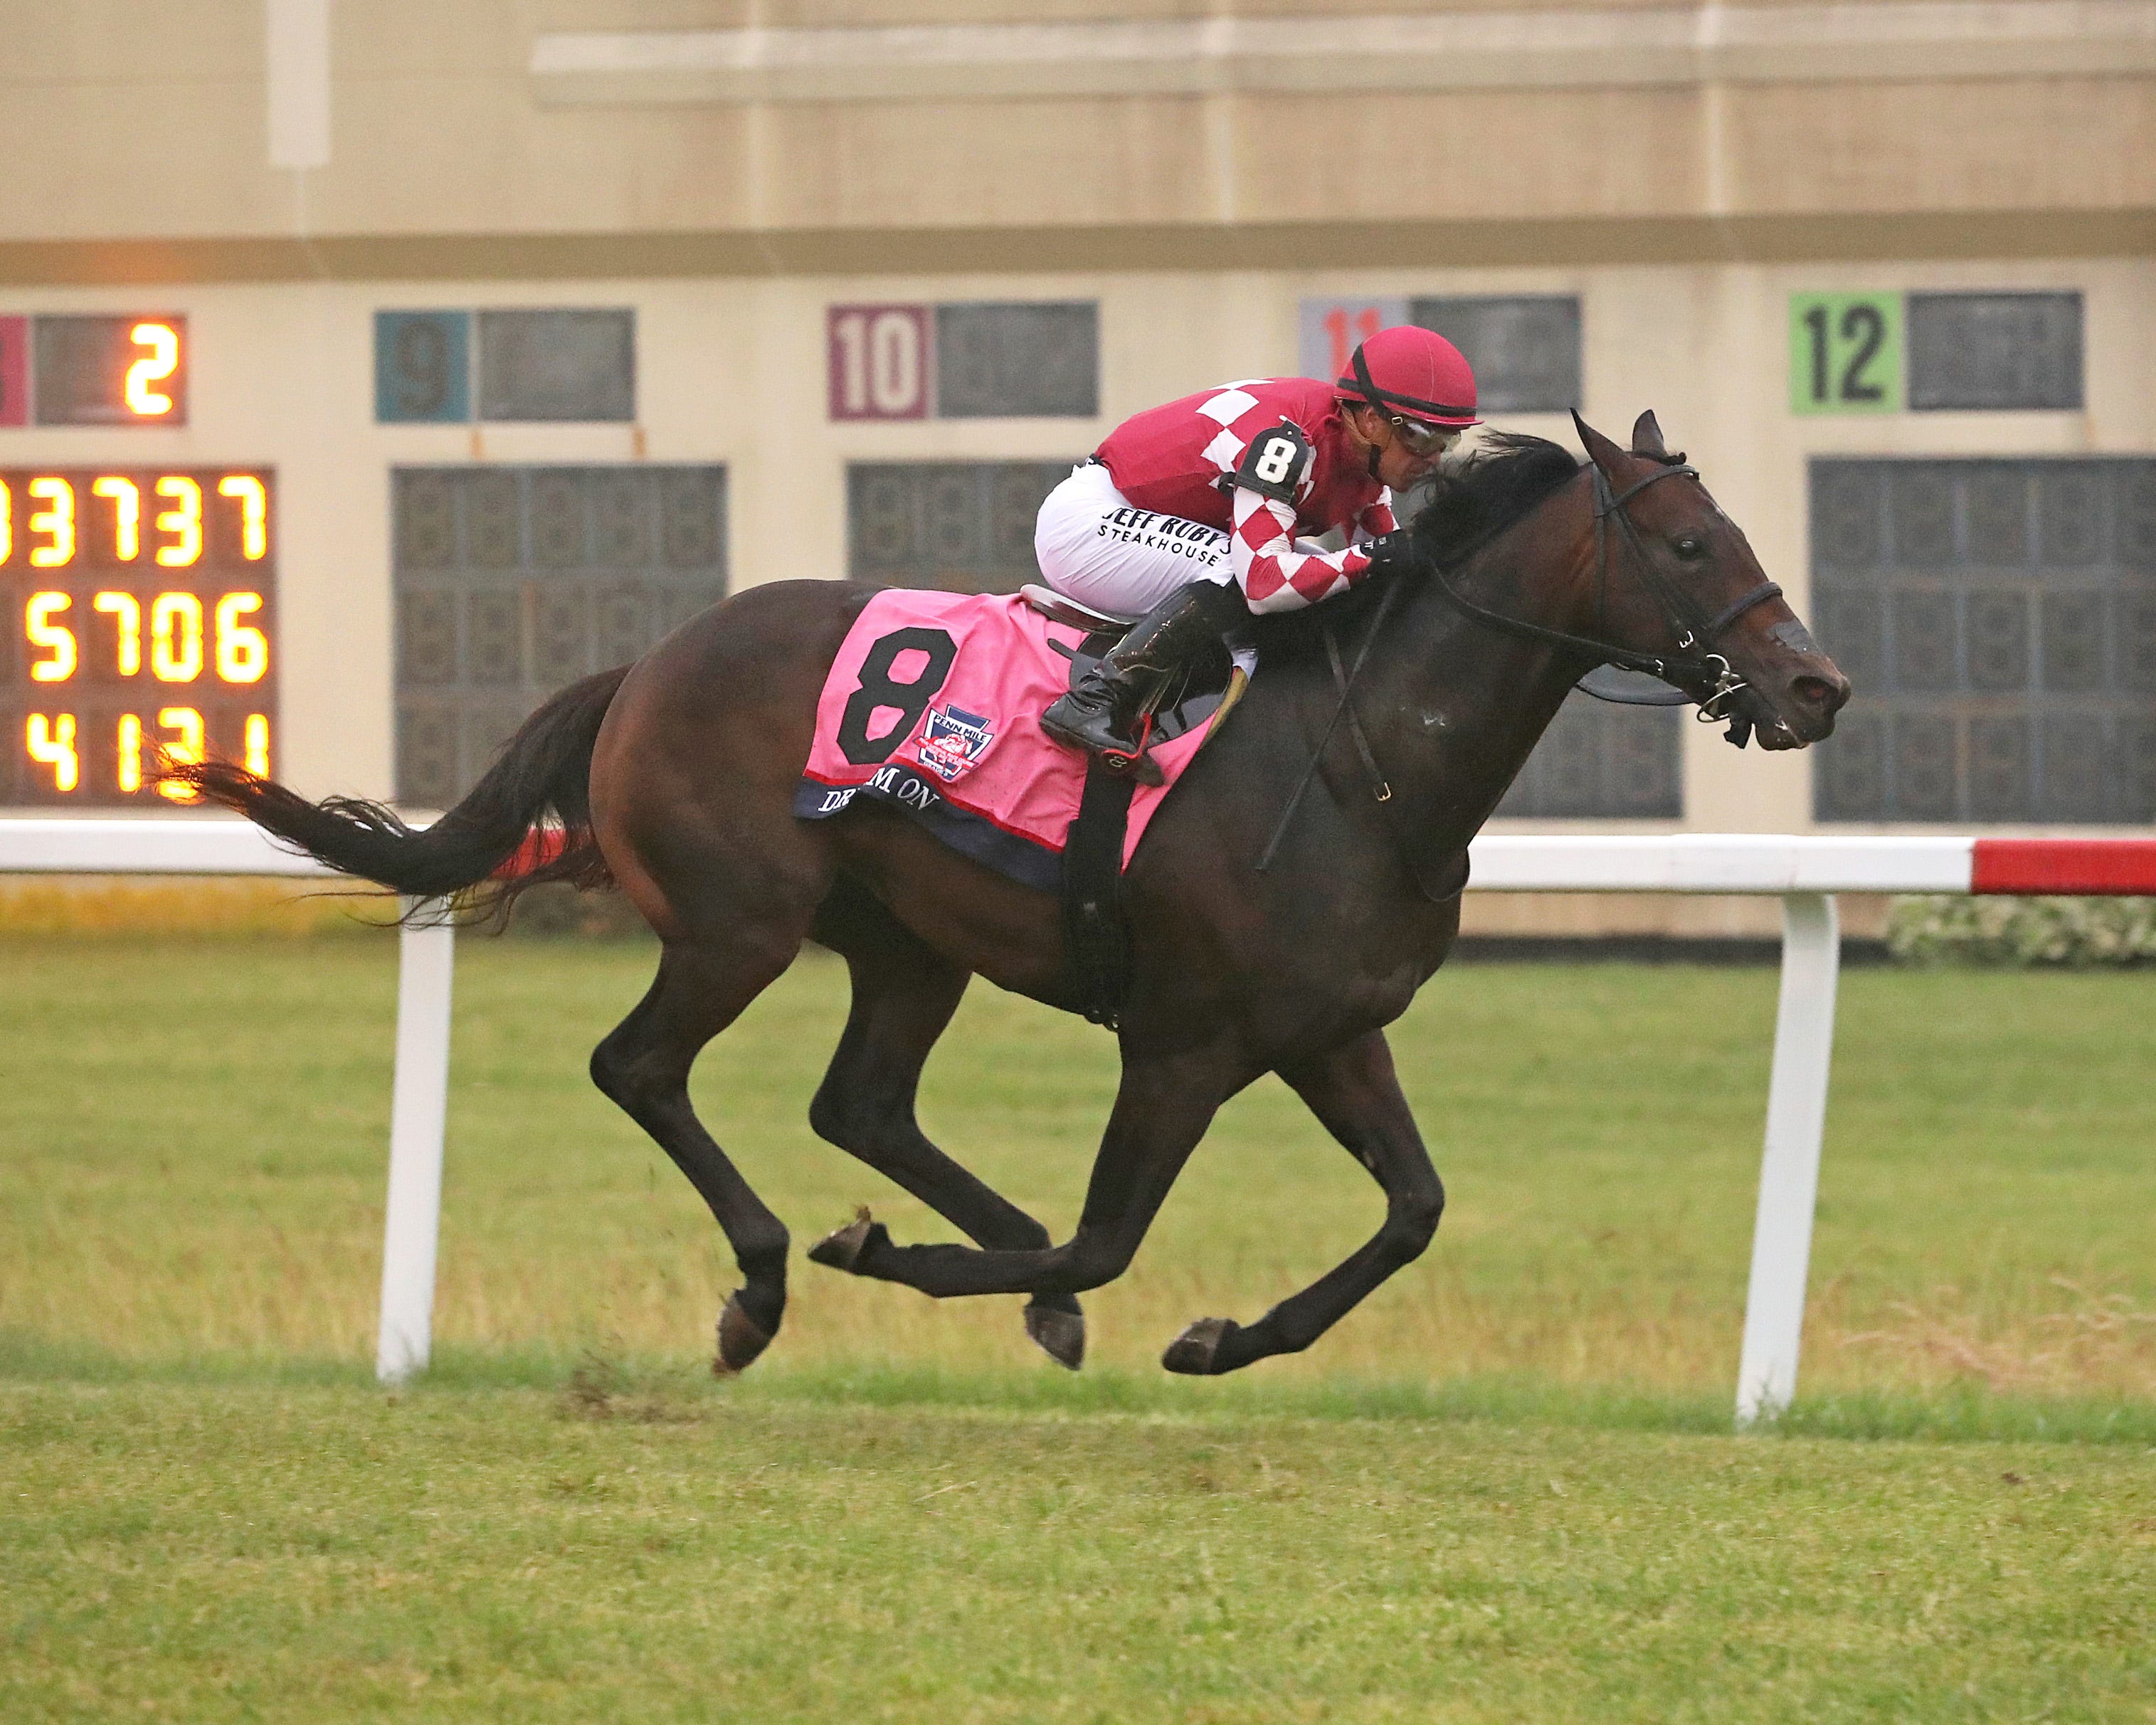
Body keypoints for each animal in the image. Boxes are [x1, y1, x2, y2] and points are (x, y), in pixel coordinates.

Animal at [177, 412, 1849, 1378]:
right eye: (1689, 543)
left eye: (1741, 534)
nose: (1813, 685)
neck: (1364, 758)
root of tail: (647, 659)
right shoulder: (1183, 1043)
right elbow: (1110, 1236)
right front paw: (894, 1261)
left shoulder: (1328, 1031)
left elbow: (1416, 1210)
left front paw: (1223, 1338)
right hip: (739, 921)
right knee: (639, 1066)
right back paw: (766, 1282)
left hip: (909, 942)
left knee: (861, 1104)